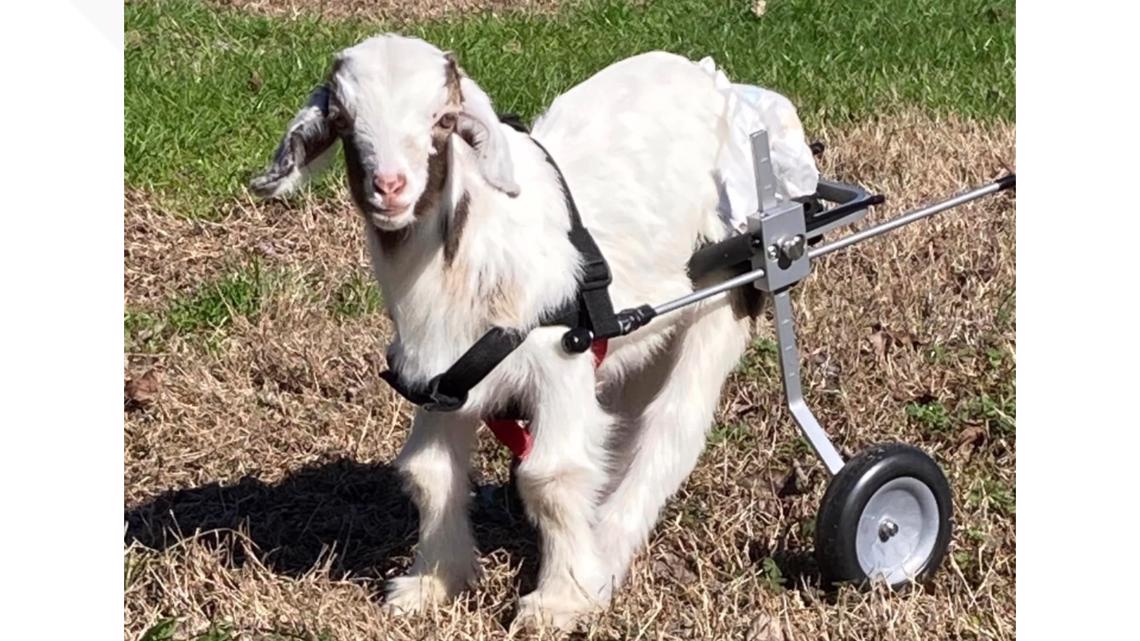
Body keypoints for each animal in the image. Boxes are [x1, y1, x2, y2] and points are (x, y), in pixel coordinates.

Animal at [250, 34, 760, 629]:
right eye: (342, 119)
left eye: (444, 118)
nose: (390, 187)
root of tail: (707, 75)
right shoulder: (440, 376)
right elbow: (430, 473)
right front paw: (432, 583)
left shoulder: (561, 358)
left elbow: (551, 476)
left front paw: (559, 600)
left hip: (725, 291)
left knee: (674, 423)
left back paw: (605, 555)